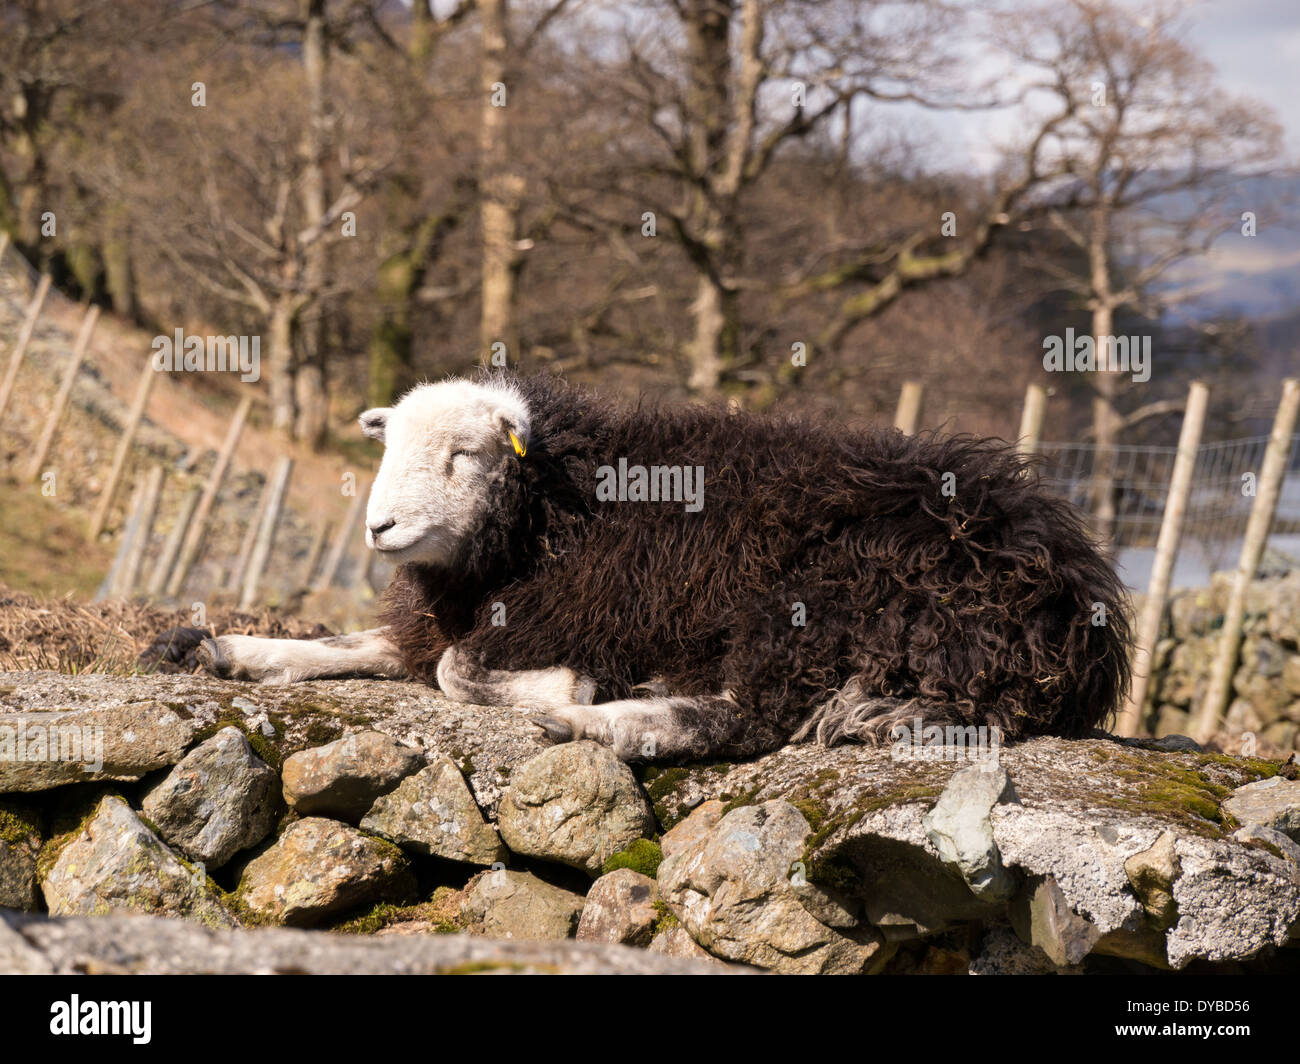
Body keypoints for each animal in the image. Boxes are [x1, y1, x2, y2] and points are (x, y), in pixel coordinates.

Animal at [198, 371, 1132, 762]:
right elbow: (360, 648)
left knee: (748, 720)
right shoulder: (441, 616)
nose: (380, 526)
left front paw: (567, 687)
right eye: (387, 447)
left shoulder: (570, 615)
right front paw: (228, 648)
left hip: (811, 604)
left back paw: (592, 721)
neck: (545, 509)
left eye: (463, 455)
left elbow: (455, 673)